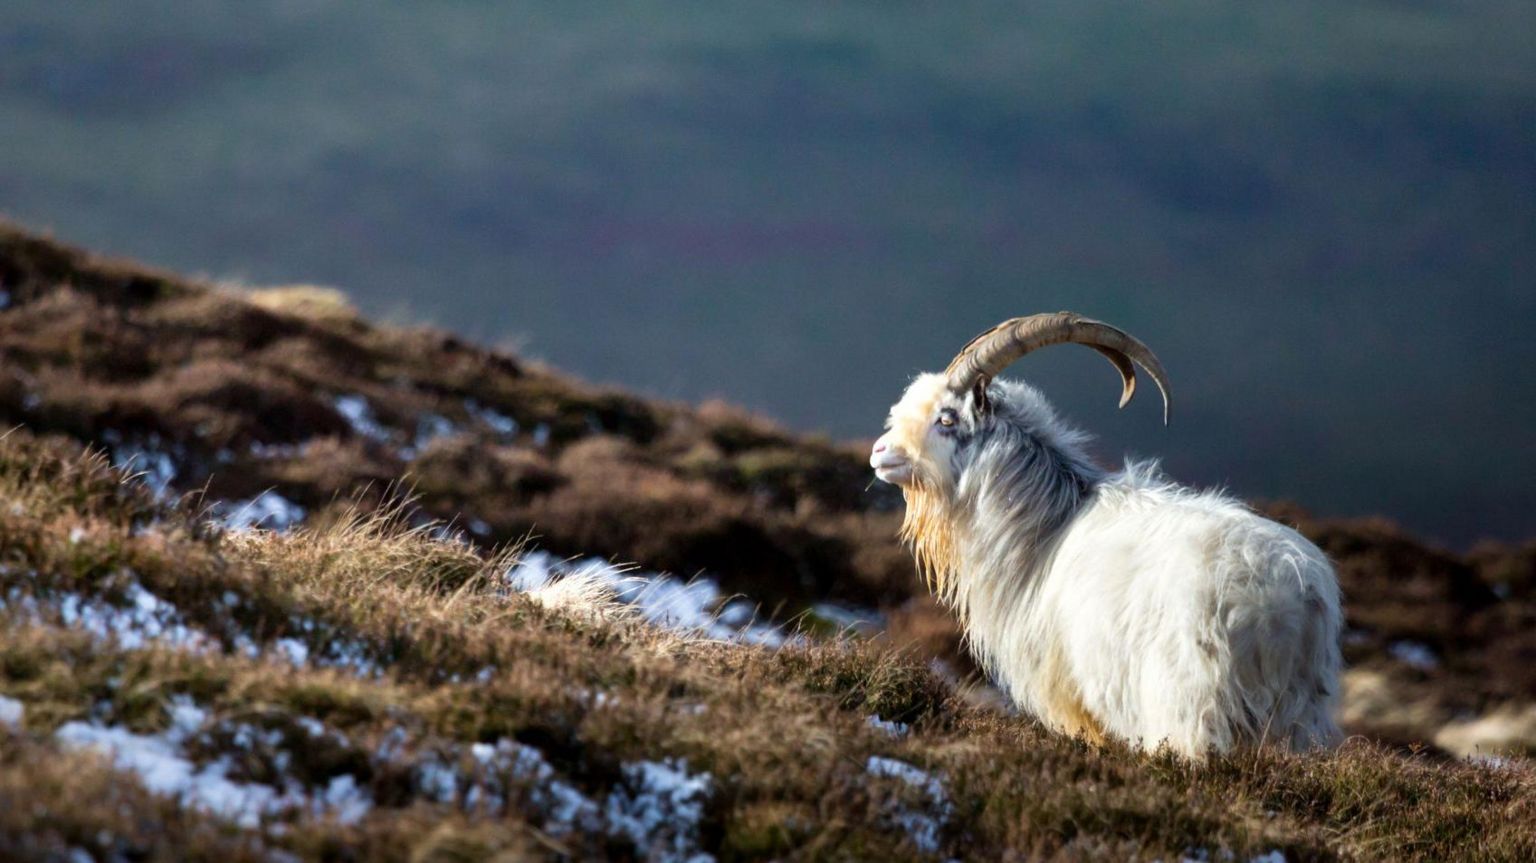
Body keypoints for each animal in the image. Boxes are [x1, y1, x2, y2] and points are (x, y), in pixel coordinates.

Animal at [870, 312, 1341, 756]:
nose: (879, 452)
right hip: (1297, 720)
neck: (1050, 524)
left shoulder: (1070, 696)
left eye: (947, 418)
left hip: (1192, 712)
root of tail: (1283, 602)